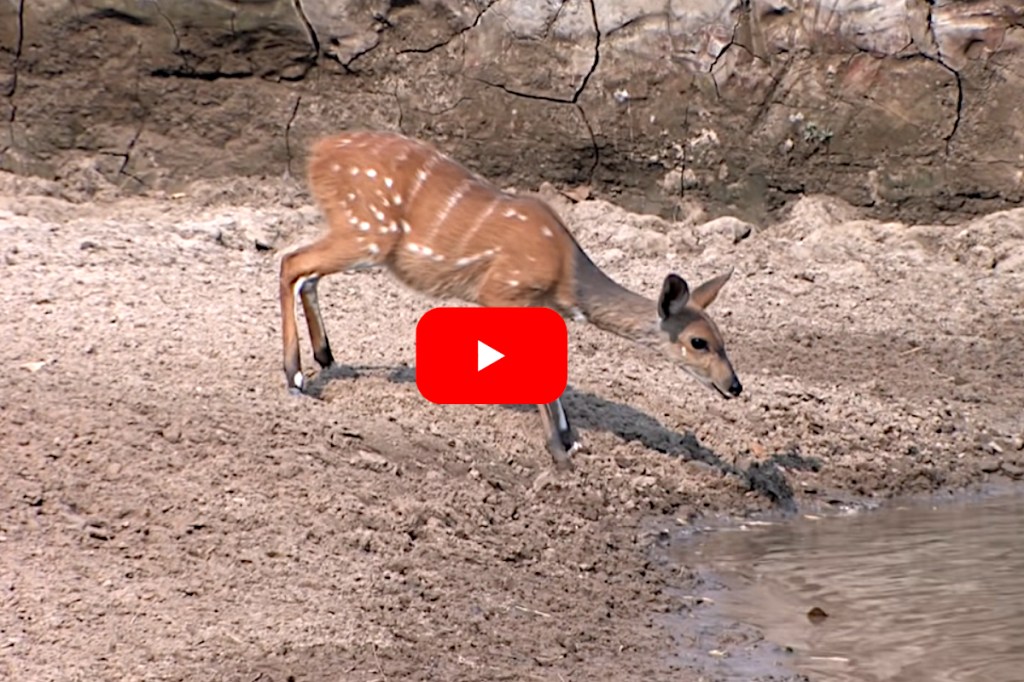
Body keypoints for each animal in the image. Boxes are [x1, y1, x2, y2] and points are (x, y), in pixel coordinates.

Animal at [279, 130, 742, 470]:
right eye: (698, 342)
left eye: (723, 340)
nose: (734, 385)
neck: (565, 271)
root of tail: (317, 152)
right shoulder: (501, 292)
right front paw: (559, 451)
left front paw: (570, 442)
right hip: (367, 233)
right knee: (290, 261)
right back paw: (295, 375)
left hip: (360, 240)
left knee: (306, 276)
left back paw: (324, 357)